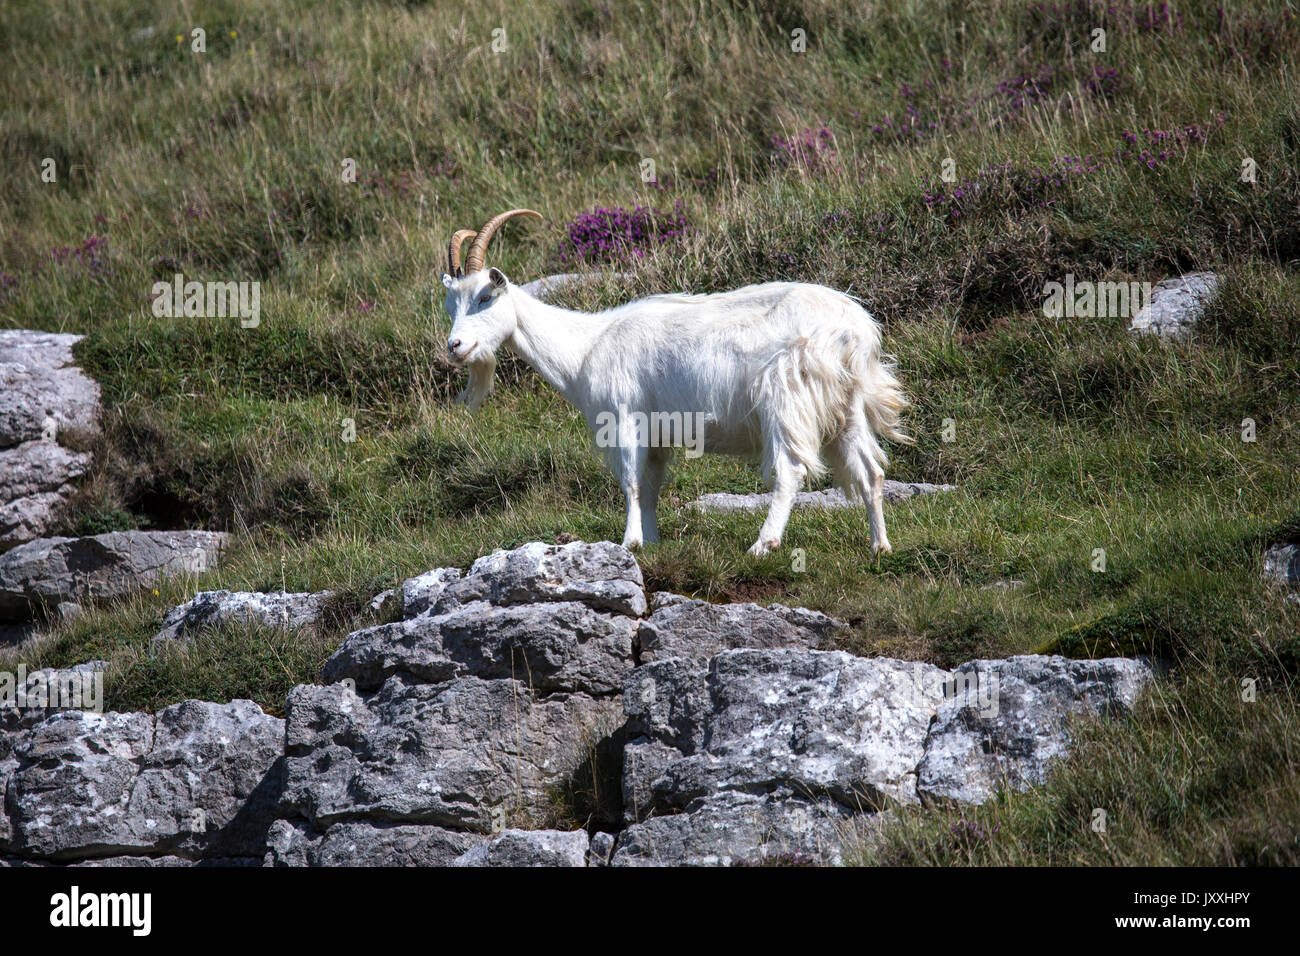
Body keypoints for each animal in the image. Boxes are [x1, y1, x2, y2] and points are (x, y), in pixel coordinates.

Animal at [441, 208, 911, 557]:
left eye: (485, 297)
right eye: (451, 304)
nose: (455, 346)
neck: (587, 346)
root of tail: (857, 330)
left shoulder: (625, 418)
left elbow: (630, 482)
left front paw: (629, 542)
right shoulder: (656, 432)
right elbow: (649, 487)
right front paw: (650, 542)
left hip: (788, 397)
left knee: (790, 469)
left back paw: (763, 544)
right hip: (846, 406)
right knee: (870, 471)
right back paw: (880, 547)